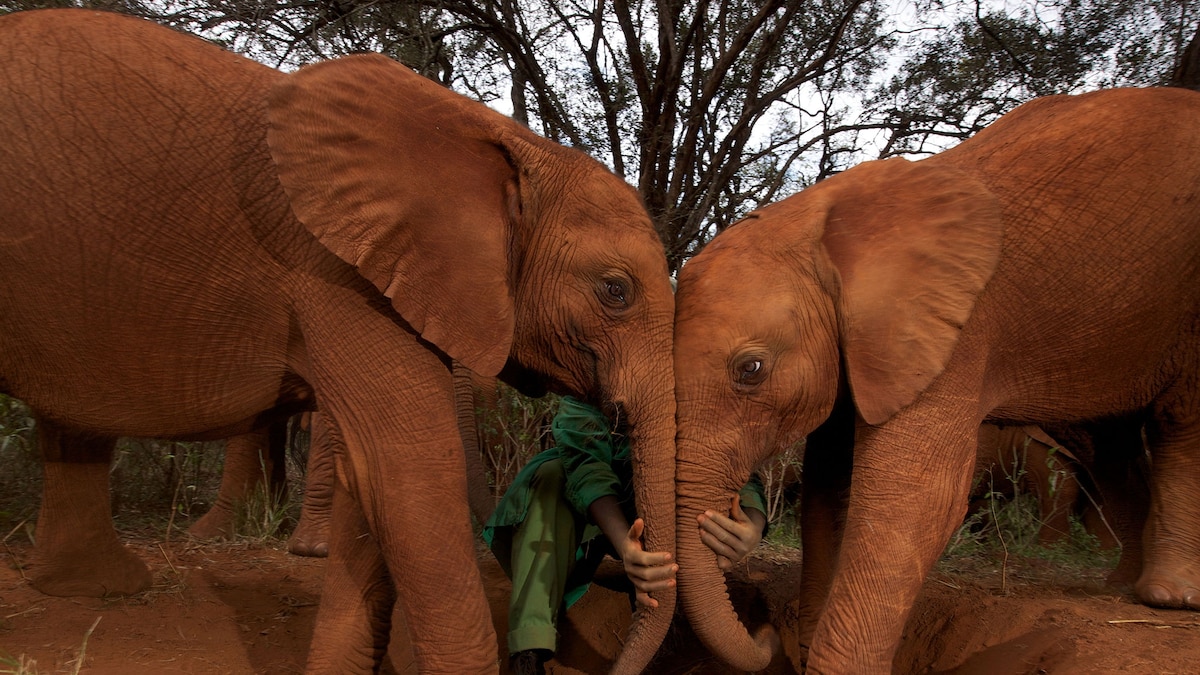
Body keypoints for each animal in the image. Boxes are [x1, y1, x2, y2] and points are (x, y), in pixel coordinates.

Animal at [0, 9, 676, 674]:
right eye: (615, 291)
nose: (642, 563)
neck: (502, 140)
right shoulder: (333, 272)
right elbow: (406, 465)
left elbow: (369, 482)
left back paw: (95, 588)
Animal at [670, 87, 1200, 673]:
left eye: (751, 370)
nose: (765, 633)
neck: (826, 222)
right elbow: (830, 487)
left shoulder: (960, 331)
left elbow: (911, 499)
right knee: (1108, 443)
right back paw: (1120, 587)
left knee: (1179, 423)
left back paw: (1169, 596)